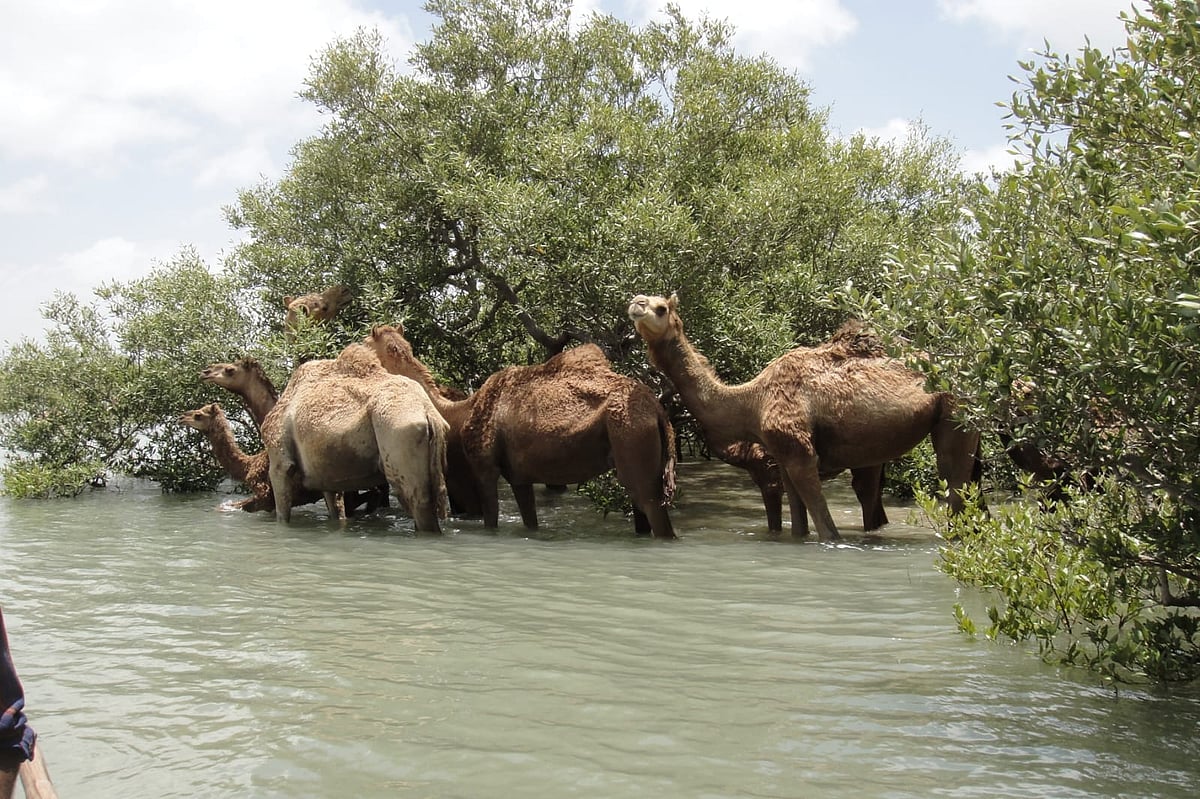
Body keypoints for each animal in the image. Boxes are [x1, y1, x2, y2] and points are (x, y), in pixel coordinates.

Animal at [260, 343, 450, 531]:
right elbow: (335, 510)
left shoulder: (280, 462)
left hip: (400, 435)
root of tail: (429, 413)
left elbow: (282, 514)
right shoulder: (323, 472)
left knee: (418, 503)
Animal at [363, 324, 677, 538]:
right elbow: (529, 520)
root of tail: (658, 410)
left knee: (653, 507)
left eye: (367, 343)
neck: (462, 409)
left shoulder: (485, 467)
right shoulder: (519, 476)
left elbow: (490, 518)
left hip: (631, 437)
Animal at [628, 293, 980, 542]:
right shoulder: (782, 457)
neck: (750, 401)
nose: (636, 304)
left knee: (954, 478)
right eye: (641, 298)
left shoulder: (799, 449)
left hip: (954, 413)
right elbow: (799, 525)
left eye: (662, 308)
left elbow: (826, 529)